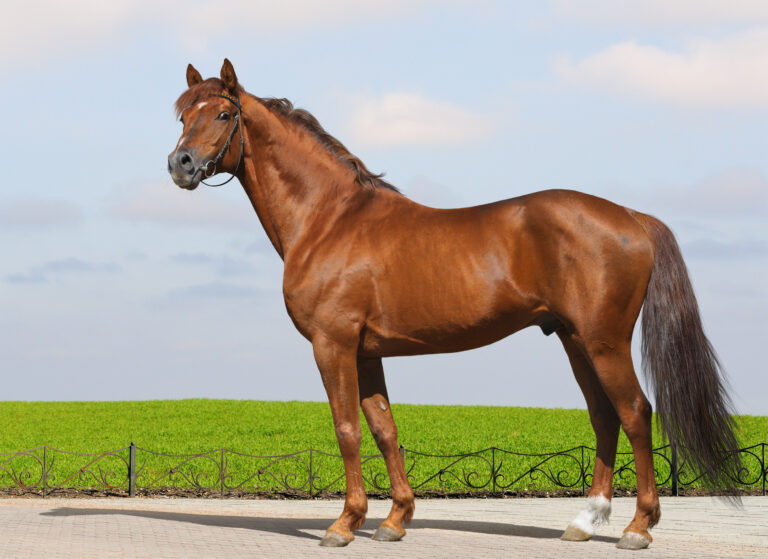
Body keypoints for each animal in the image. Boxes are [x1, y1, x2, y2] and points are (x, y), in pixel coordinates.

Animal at [167, 59, 741, 550]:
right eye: (182, 115)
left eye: (223, 114)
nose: (181, 164)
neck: (330, 219)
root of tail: (632, 216)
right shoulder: (366, 352)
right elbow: (384, 430)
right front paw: (394, 520)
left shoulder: (333, 345)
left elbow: (347, 430)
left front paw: (344, 524)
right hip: (576, 340)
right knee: (604, 416)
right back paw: (583, 521)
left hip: (605, 343)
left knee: (636, 413)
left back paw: (638, 527)